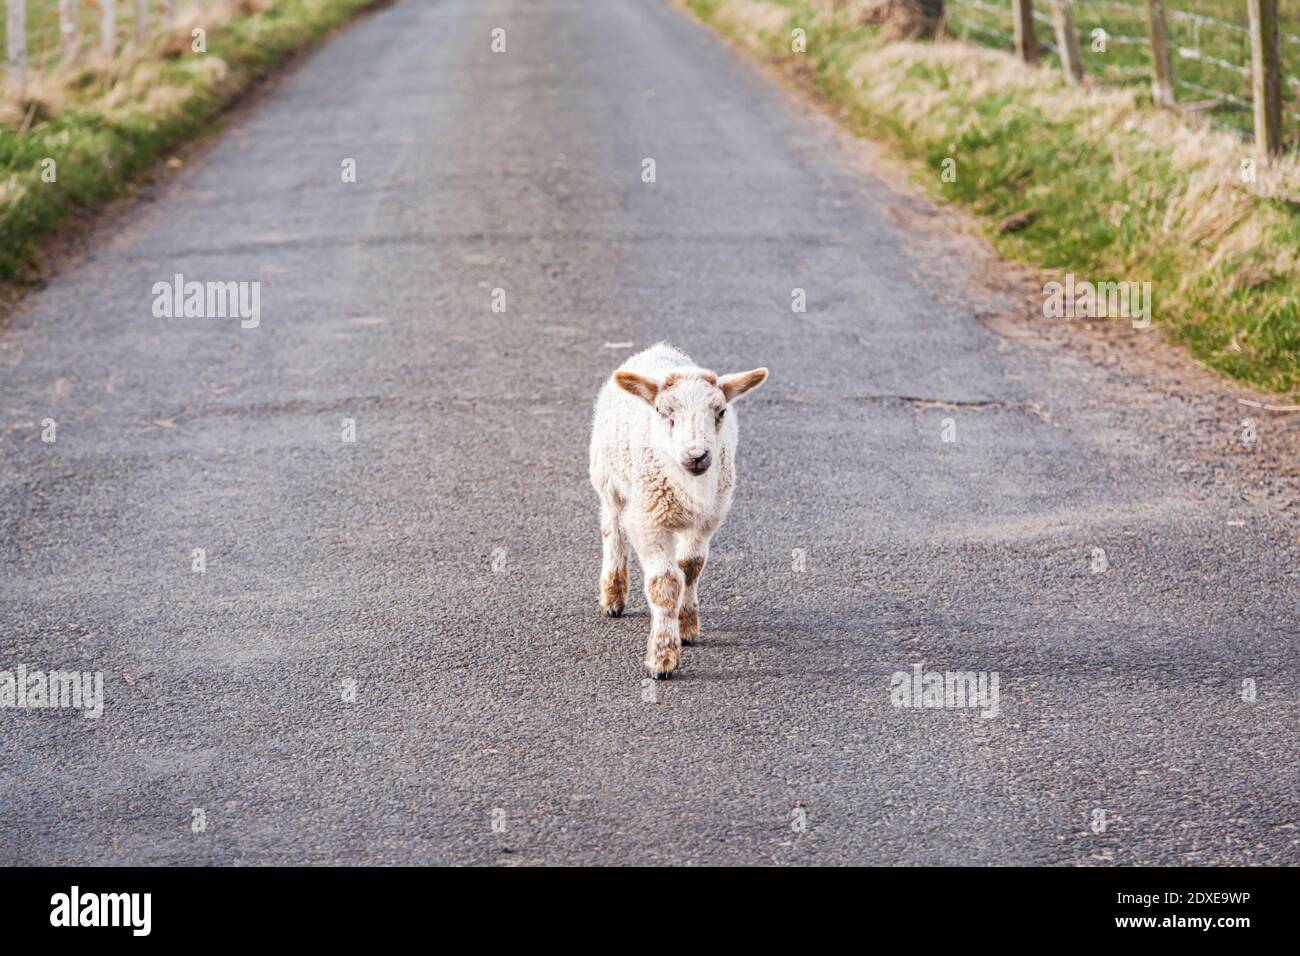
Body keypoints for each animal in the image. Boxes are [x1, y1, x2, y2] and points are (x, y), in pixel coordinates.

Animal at [588, 343, 769, 679]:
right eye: (664, 413)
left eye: (720, 412)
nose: (697, 455)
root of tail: (658, 349)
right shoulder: (649, 521)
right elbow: (665, 583)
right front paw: (662, 657)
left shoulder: (706, 519)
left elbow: (690, 567)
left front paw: (686, 626)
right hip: (608, 479)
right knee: (613, 530)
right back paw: (613, 594)